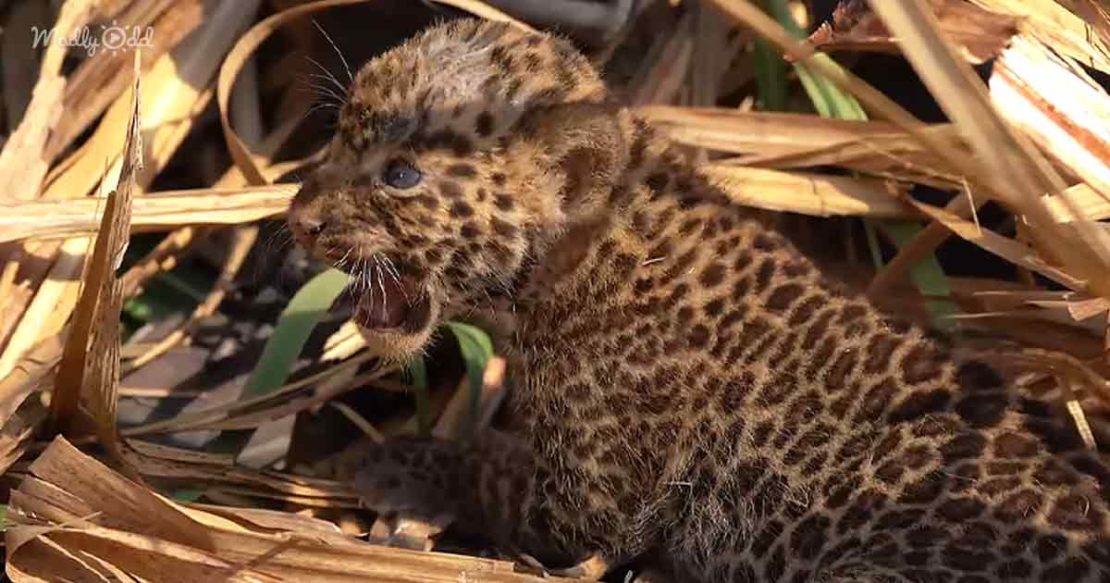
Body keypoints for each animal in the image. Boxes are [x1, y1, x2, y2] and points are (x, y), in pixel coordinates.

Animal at [287, 18, 1110, 582]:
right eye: (340, 133)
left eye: (400, 175)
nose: (298, 220)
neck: (594, 254)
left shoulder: (593, 493)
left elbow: (494, 470)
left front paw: (388, 461)